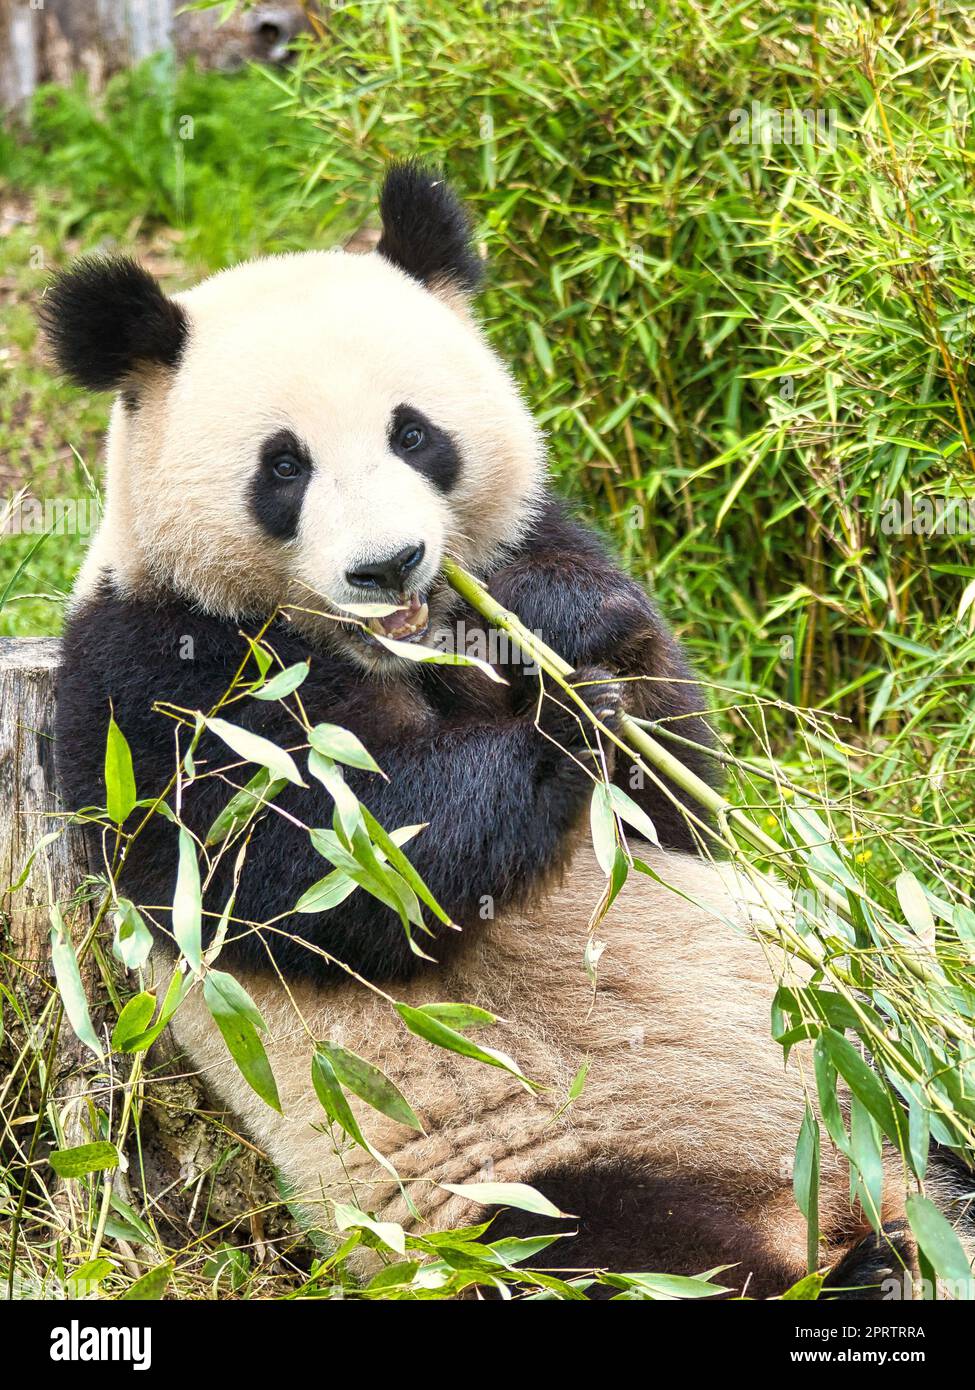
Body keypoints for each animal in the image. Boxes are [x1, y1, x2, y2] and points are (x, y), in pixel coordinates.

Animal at [42, 164, 968, 1298]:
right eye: (284, 467)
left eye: (413, 433)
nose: (388, 564)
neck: (391, 648)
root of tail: (834, 1198)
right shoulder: (150, 673)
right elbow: (320, 861)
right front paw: (561, 729)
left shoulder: (534, 544)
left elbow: (678, 798)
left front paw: (566, 633)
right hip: (524, 1189)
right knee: (621, 1253)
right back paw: (860, 1271)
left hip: (874, 1087)